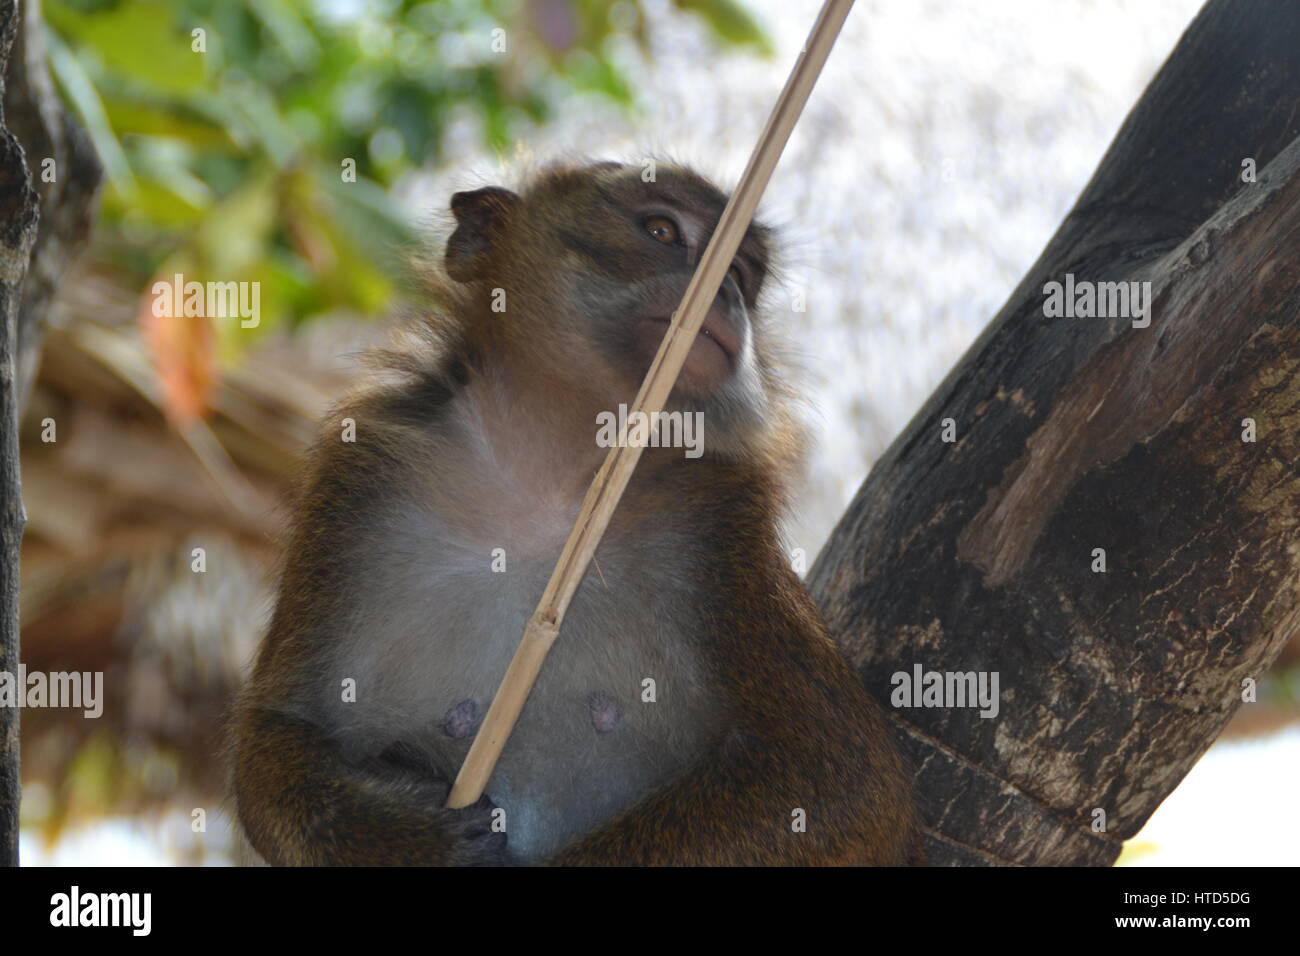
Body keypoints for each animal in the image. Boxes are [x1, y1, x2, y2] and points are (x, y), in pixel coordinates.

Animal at [230, 159, 923, 866]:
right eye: (661, 229)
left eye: (743, 273)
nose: (726, 288)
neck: (553, 474)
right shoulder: (362, 475)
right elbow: (278, 734)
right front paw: (420, 841)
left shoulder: (720, 522)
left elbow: (835, 779)